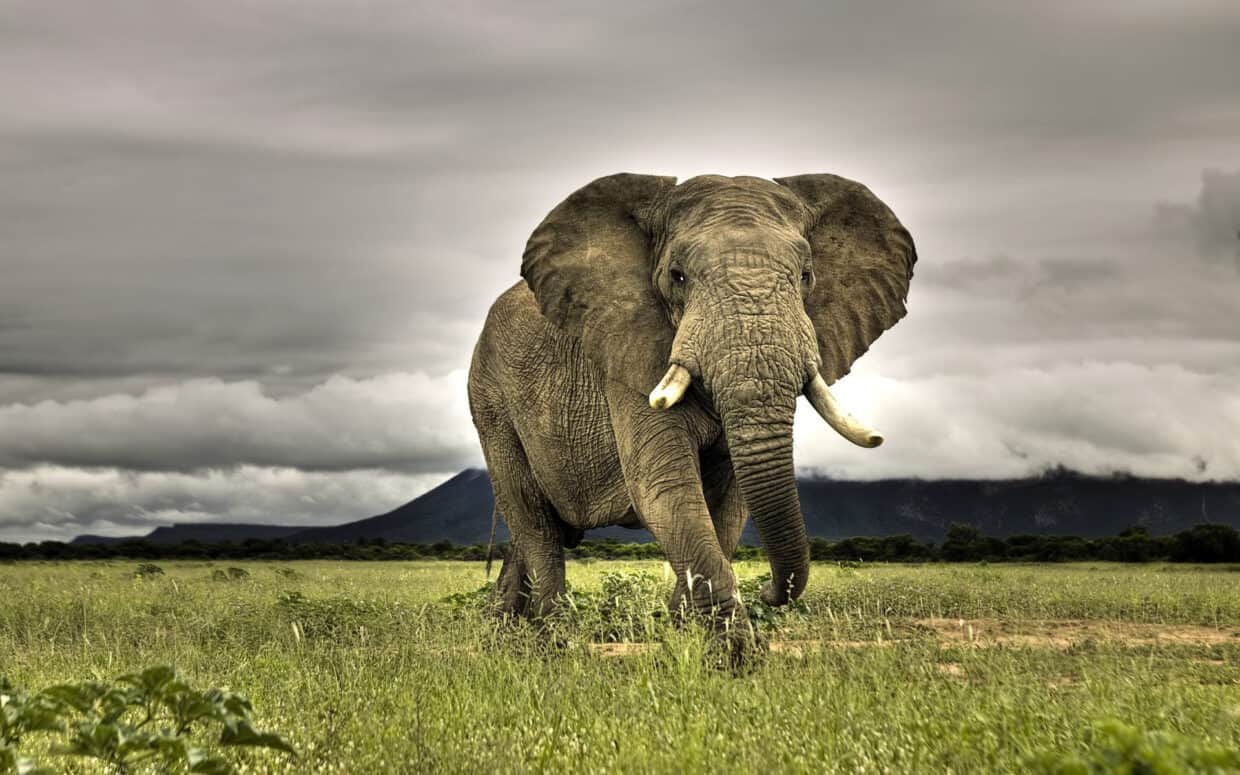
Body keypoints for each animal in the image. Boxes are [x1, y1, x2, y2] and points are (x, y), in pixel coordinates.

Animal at [468, 173, 916, 657]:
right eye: (677, 277)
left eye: (806, 276)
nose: (769, 592)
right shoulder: (629, 356)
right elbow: (665, 487)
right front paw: (735, 657)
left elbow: (729, 504)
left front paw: (686, 637)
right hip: (490, 400)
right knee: (535, 522)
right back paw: (556, 643)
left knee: (534, 531)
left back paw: (502, 634)